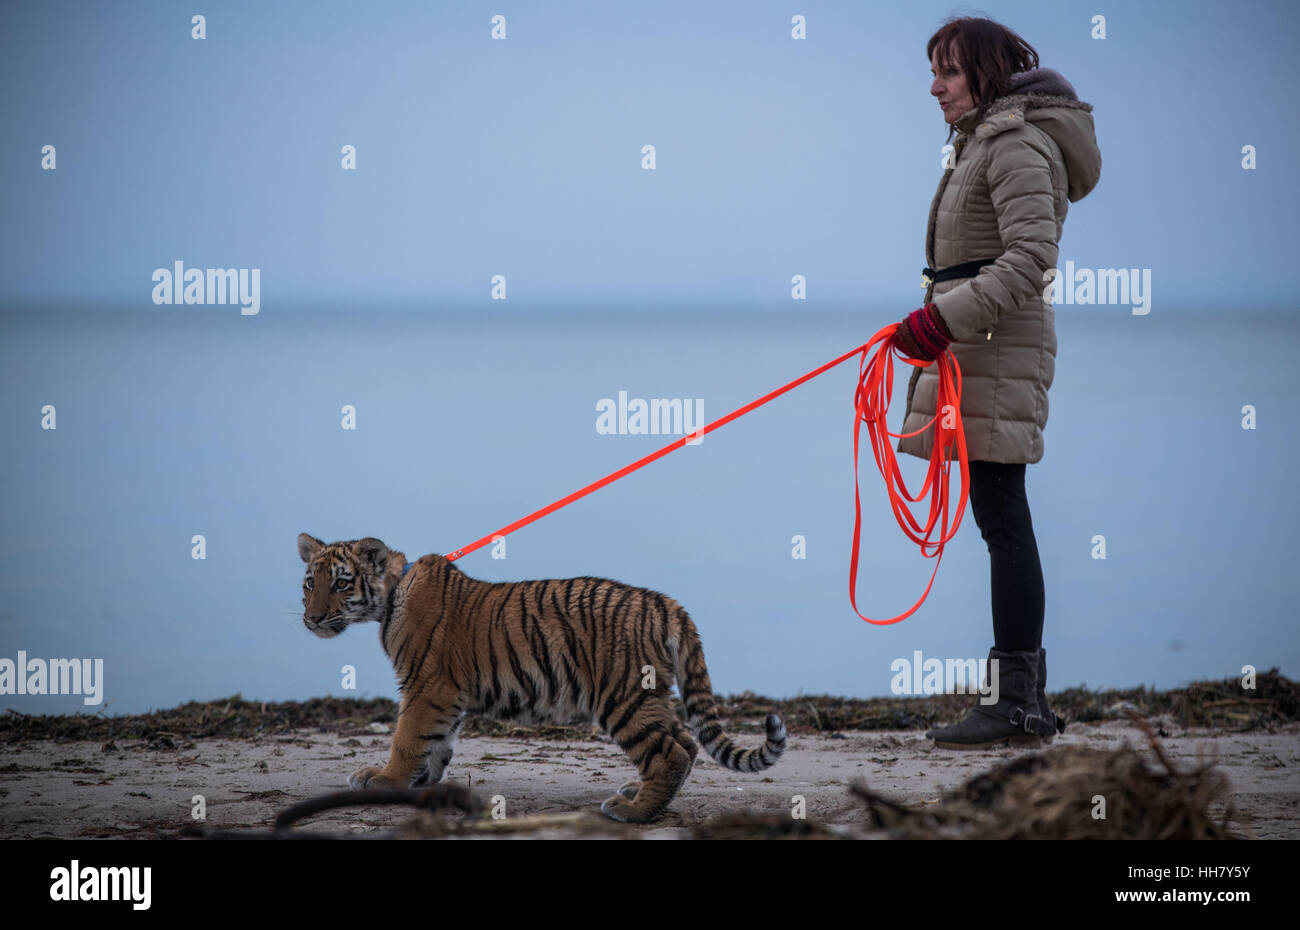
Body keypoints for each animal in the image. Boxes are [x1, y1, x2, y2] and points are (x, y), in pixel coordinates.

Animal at [296, 533, 786, 823]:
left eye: (340, 583)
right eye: (309, 583)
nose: (312, 618)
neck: (390, 597)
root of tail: (664, 602)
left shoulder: (426, 687)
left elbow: (408, 738)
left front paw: (385, 780)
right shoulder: (446, 695)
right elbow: (438, 742)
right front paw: (420, 781)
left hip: (622, 695)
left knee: (670, 751)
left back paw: (632, 810)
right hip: (651, 693)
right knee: (684, 741)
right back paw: (639, 792)